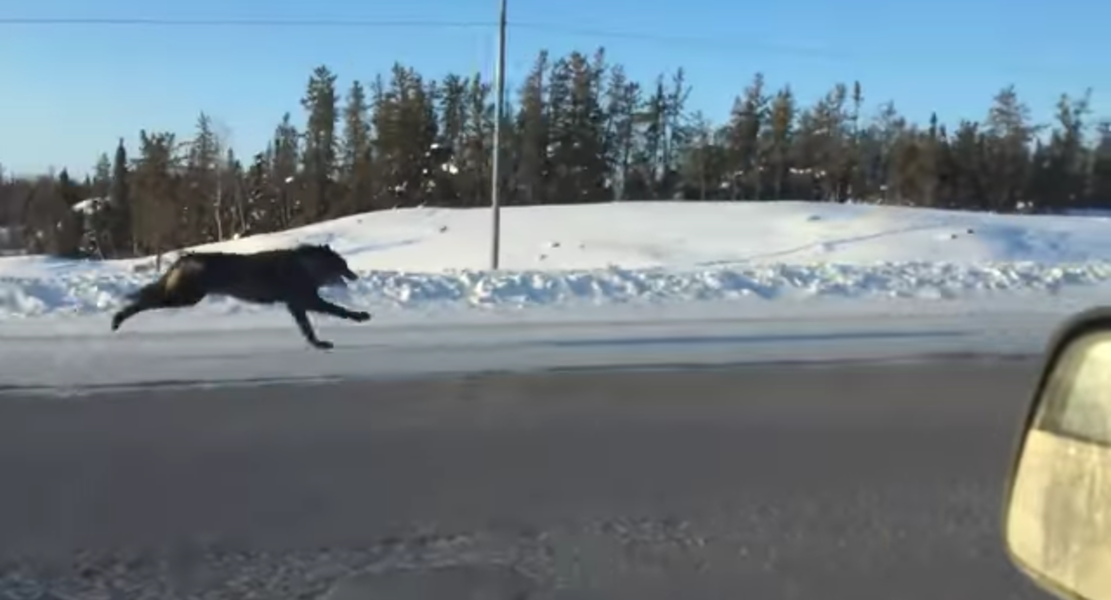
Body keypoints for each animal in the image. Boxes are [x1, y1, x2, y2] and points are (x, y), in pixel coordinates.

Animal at [111, 244, 371, 350]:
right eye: (343, 264)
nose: (355, 275)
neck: (307, 266)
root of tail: (184, 258)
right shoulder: (305, 300)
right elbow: (338, 310)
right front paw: (361, 316)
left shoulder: (296, 305)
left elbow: (307, 329)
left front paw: (318, 344)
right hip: (185, 297)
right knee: (144, 301)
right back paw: (117, 318)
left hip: (184, 296)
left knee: (147, 296)